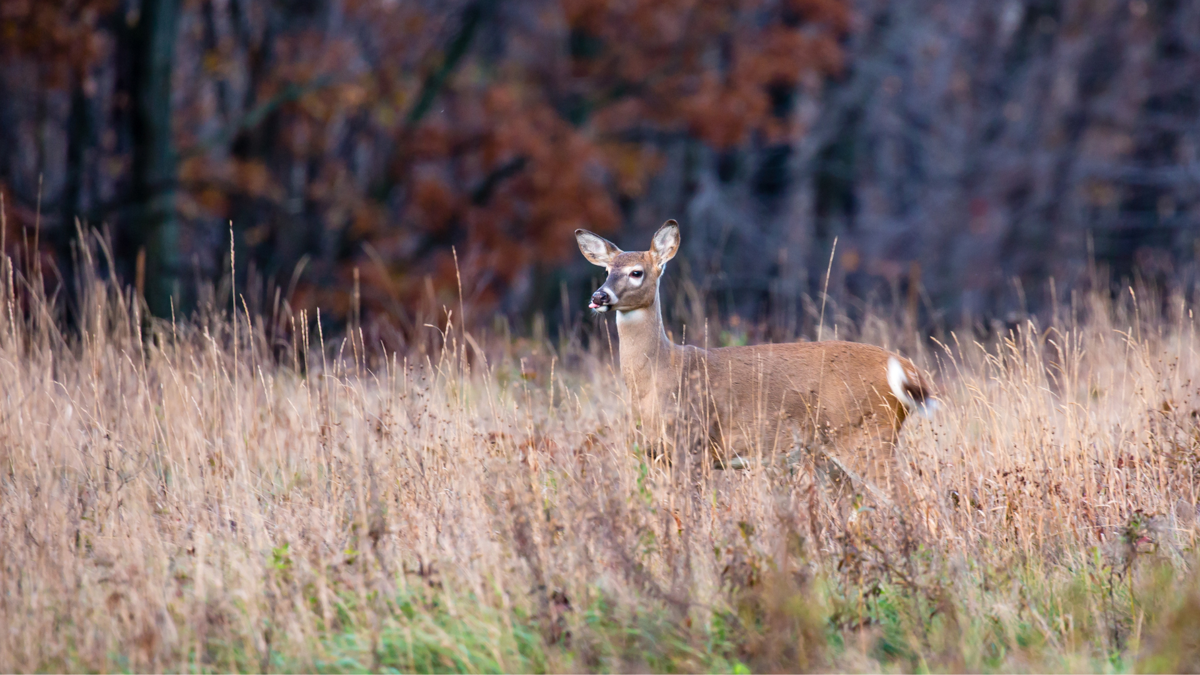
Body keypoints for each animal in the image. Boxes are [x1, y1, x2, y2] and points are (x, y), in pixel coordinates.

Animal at [576, 219, 937, 494]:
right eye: (606, 270)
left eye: (636, 272)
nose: (598, 296)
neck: (661, 374)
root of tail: (908, 369)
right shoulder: (660, 454)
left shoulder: (694, 444)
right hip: (833, 454)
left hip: (868, 437)